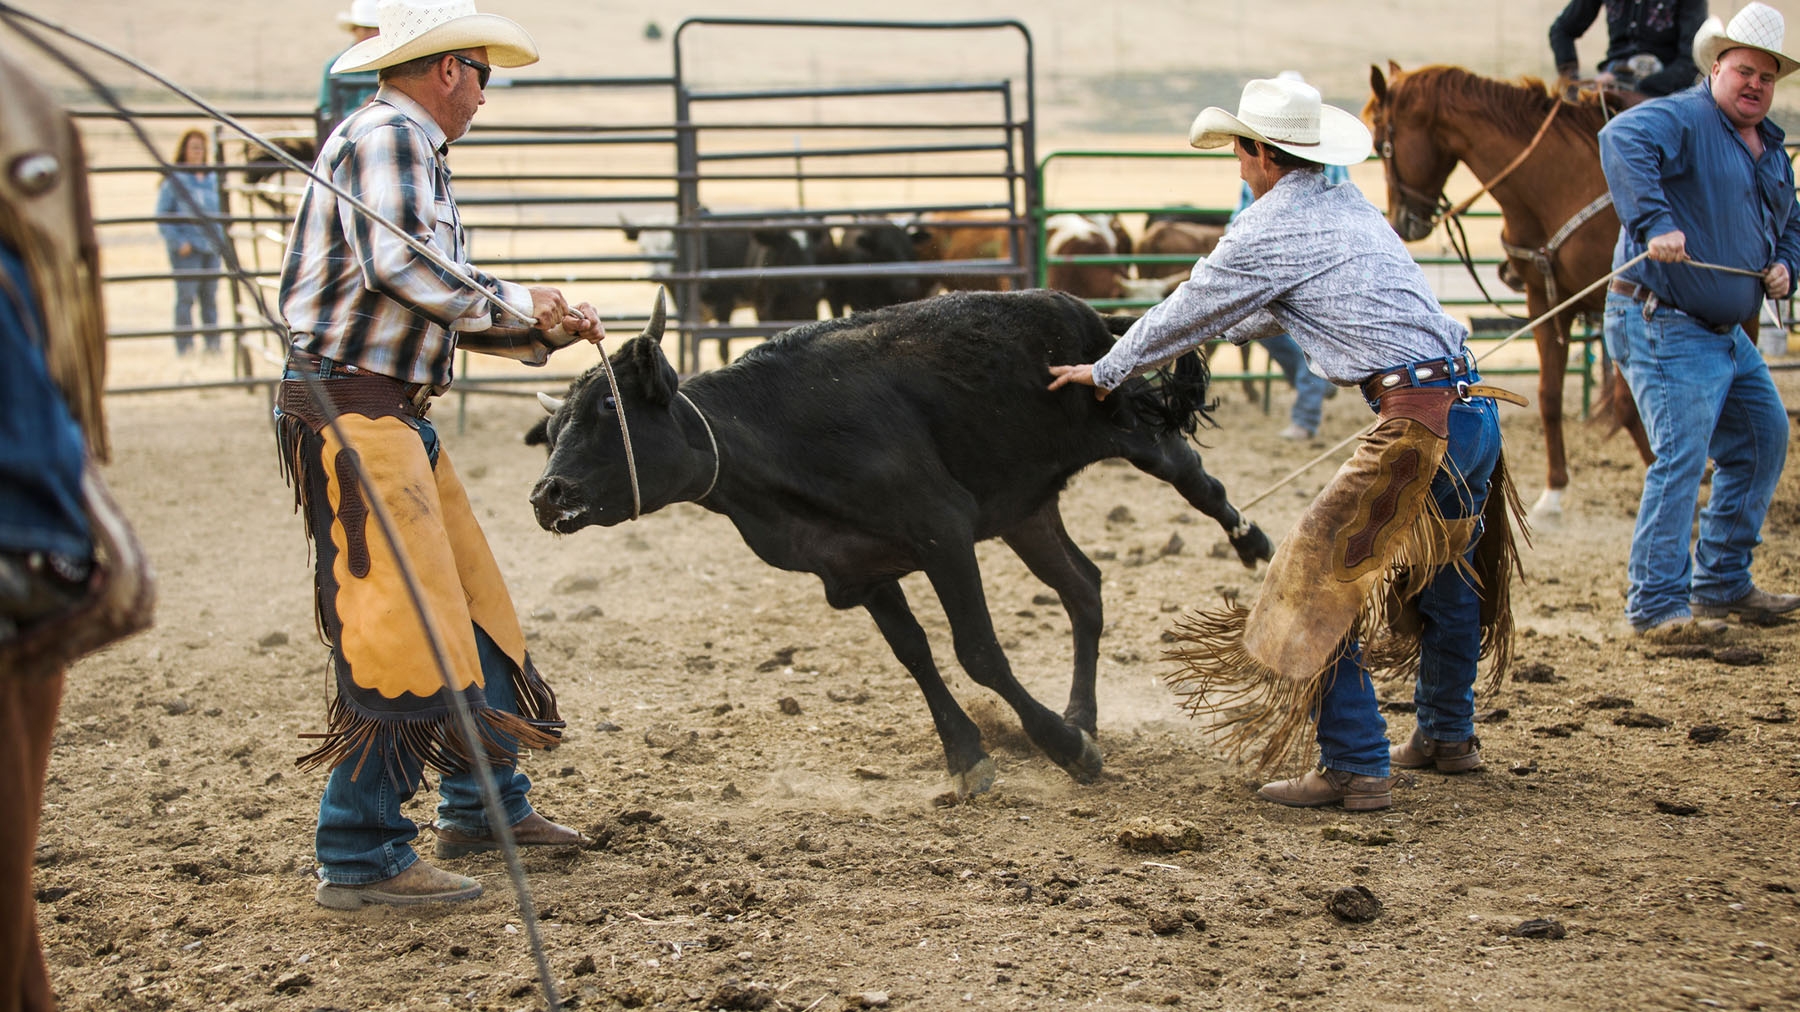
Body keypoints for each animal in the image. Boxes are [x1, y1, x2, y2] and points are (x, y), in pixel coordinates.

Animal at [527, 289, 1273, 797]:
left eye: (608, 408)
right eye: (555, 426)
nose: (546, 494)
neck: (776, 438)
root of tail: (1082, 311)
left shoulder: (943, 534)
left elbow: (978, 652)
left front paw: (1064, 749)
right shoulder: (860, 571)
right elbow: (916, 656)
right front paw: (969, 755)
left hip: (1133, 430)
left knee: (1197, 480)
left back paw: (1255, 547)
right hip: (1024, 511)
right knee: (1082, 588)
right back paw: (1083, 713)